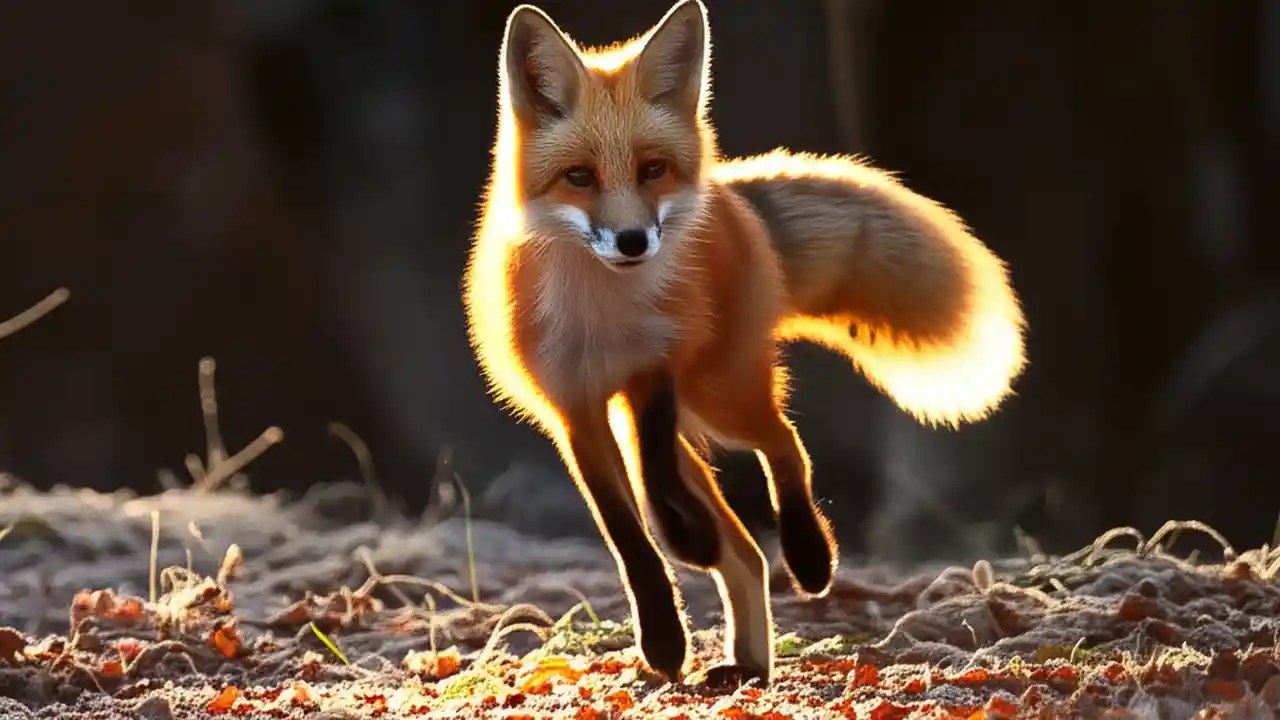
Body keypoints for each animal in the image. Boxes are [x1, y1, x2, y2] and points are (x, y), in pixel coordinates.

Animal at [462, 0, 1026, 687]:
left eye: (652, 169)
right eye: (579, 177)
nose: (633, 241)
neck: (604, 320)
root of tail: (731, 194)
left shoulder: (656, 372)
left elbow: (655, 482)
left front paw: (689, 547)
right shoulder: (577, 412)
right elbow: (628, 533)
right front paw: (664, 637)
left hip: (718, 396)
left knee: (784, 446)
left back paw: (807, 557)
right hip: (682, 412)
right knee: (748, 552)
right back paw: (749, 662)